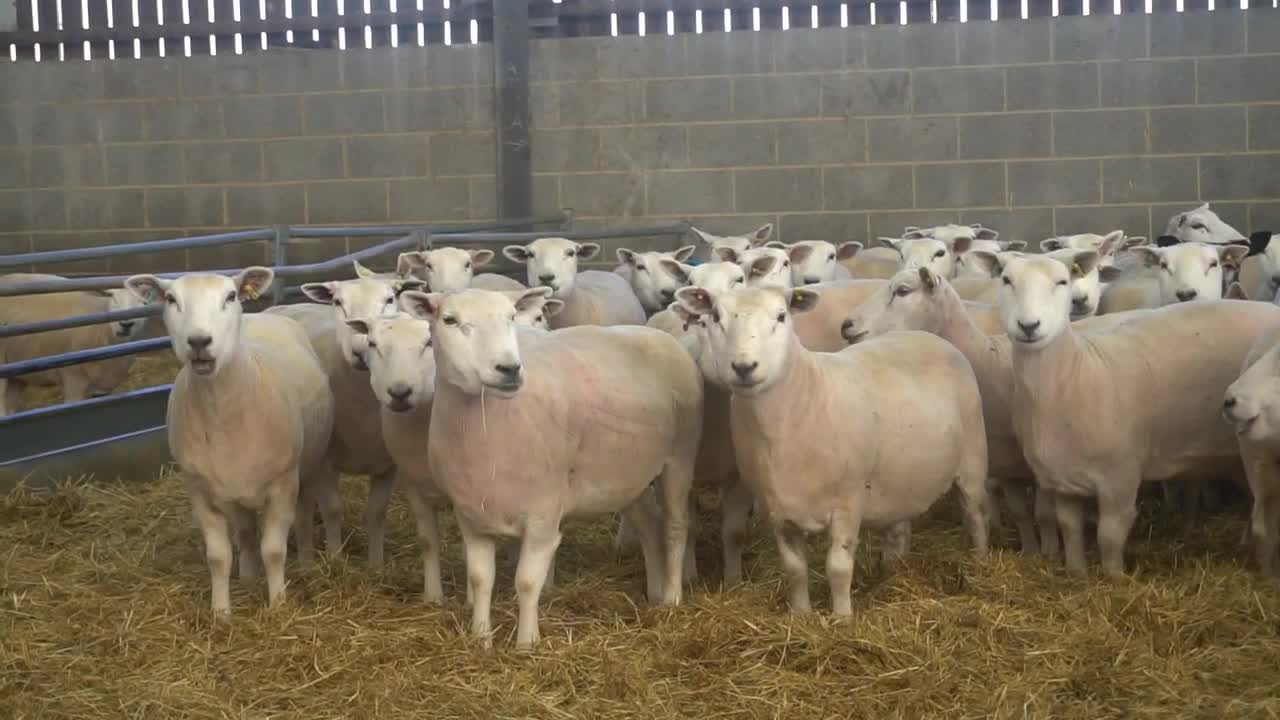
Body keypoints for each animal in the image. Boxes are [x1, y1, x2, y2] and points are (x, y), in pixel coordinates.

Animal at [0, 274, 153, 415]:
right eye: (112, 298)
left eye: (142, 302)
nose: (126, 324)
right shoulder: (73, 379)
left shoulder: (101, 390)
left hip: (16, 373)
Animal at [123, 268, 335, 613]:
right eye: (170, 299)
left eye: (231, 296)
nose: (199, 341)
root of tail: (266, 314)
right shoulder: (200, 491)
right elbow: (219, 557)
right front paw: (220, 612)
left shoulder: (282, 486)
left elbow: (273, 550)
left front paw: (278, 605)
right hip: (235, 492)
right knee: (246, 532)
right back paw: (247, 575)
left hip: (310, 467)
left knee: (303, 518)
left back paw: (307, 564)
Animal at [398, 287, 703, 647]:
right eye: (449, 320)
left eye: (511, 317)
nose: (509, 368)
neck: (488, 426)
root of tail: (656, 333)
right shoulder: (470, 517)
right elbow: (480, 579)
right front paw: (481, 639)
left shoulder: (543, 516)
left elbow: (527, 582)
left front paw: (526, 644)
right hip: (627, 479)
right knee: (649, 525)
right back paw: (654, 593)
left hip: (680, 455)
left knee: (675, 526)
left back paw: (672, 597)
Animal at [674, 285, 990, 614]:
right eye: (715, 316)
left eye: (781, 316)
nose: (744, 367)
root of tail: (925, 335)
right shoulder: (778, 511)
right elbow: (795, 569)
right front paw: (801, 614)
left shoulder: (848, 504)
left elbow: (838, 568)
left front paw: (842, 617)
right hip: (901, 477)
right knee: (899, 528)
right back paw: (894, 570)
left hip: (973, 459)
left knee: (976, 515)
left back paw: (980, 561)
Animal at [966, 249, 1280, 577]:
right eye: (1006, 280)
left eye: (1062, 281)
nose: (1029, 325)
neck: (1077, 373)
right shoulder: (1063, 483)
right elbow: (1070, 529)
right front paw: (1077, 574)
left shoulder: (1120, 479)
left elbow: (1109, 537)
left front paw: (1115, 578)